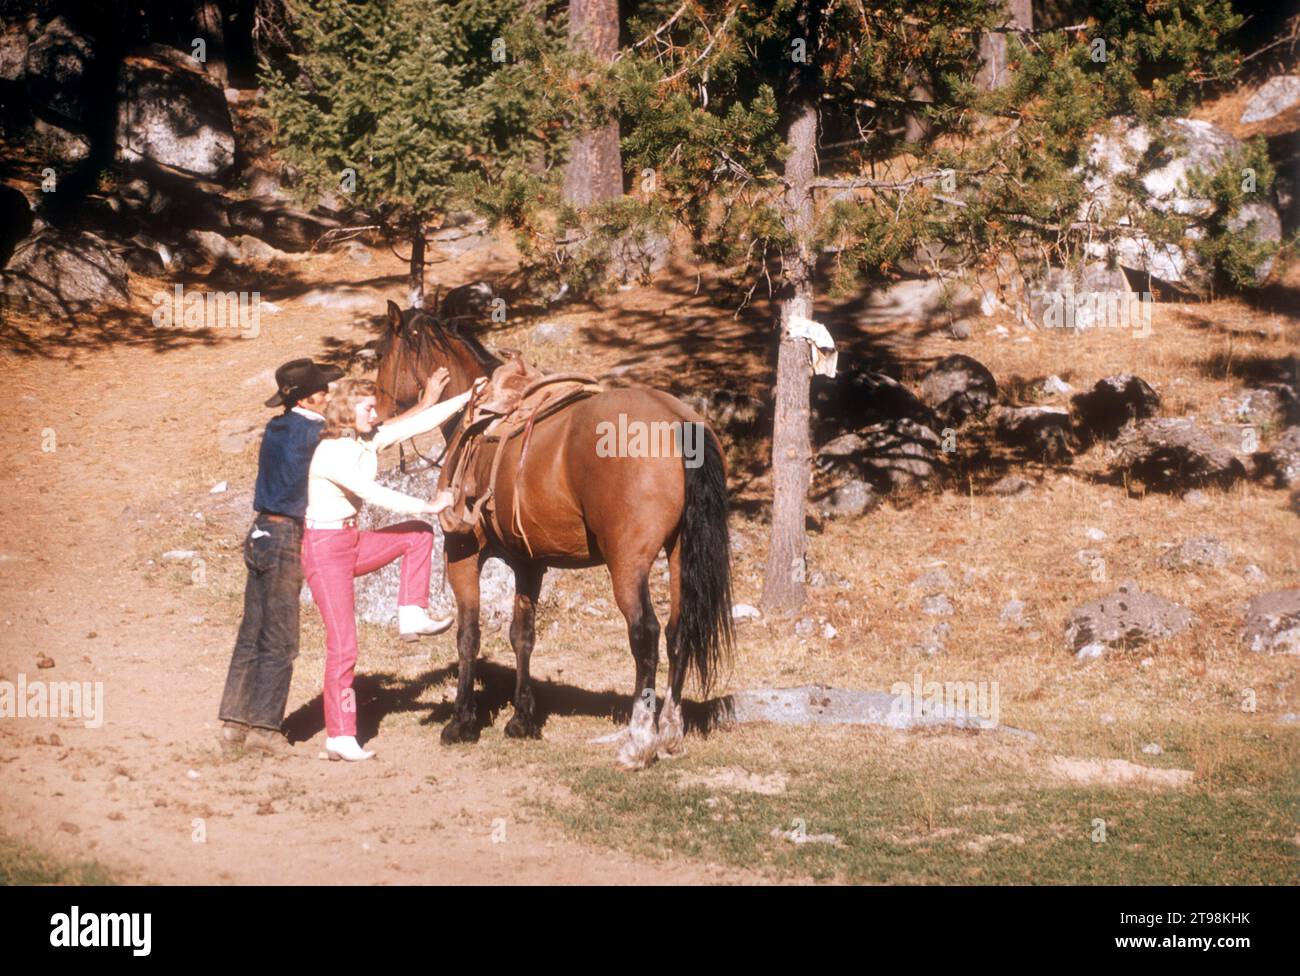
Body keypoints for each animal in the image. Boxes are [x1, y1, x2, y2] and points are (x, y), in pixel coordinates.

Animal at [374, 299, 734, 768]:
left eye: (379, 355)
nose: (378, 417)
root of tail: (677, 421)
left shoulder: (462, 554)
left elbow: (468, 635)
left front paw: (461, 722)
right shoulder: (529, 563)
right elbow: (522, 636)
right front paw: (521, 719)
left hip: (628, 563)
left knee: (646, 636)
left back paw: (638, 741)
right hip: (677, 556)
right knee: (678, 633)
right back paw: (670, 732)